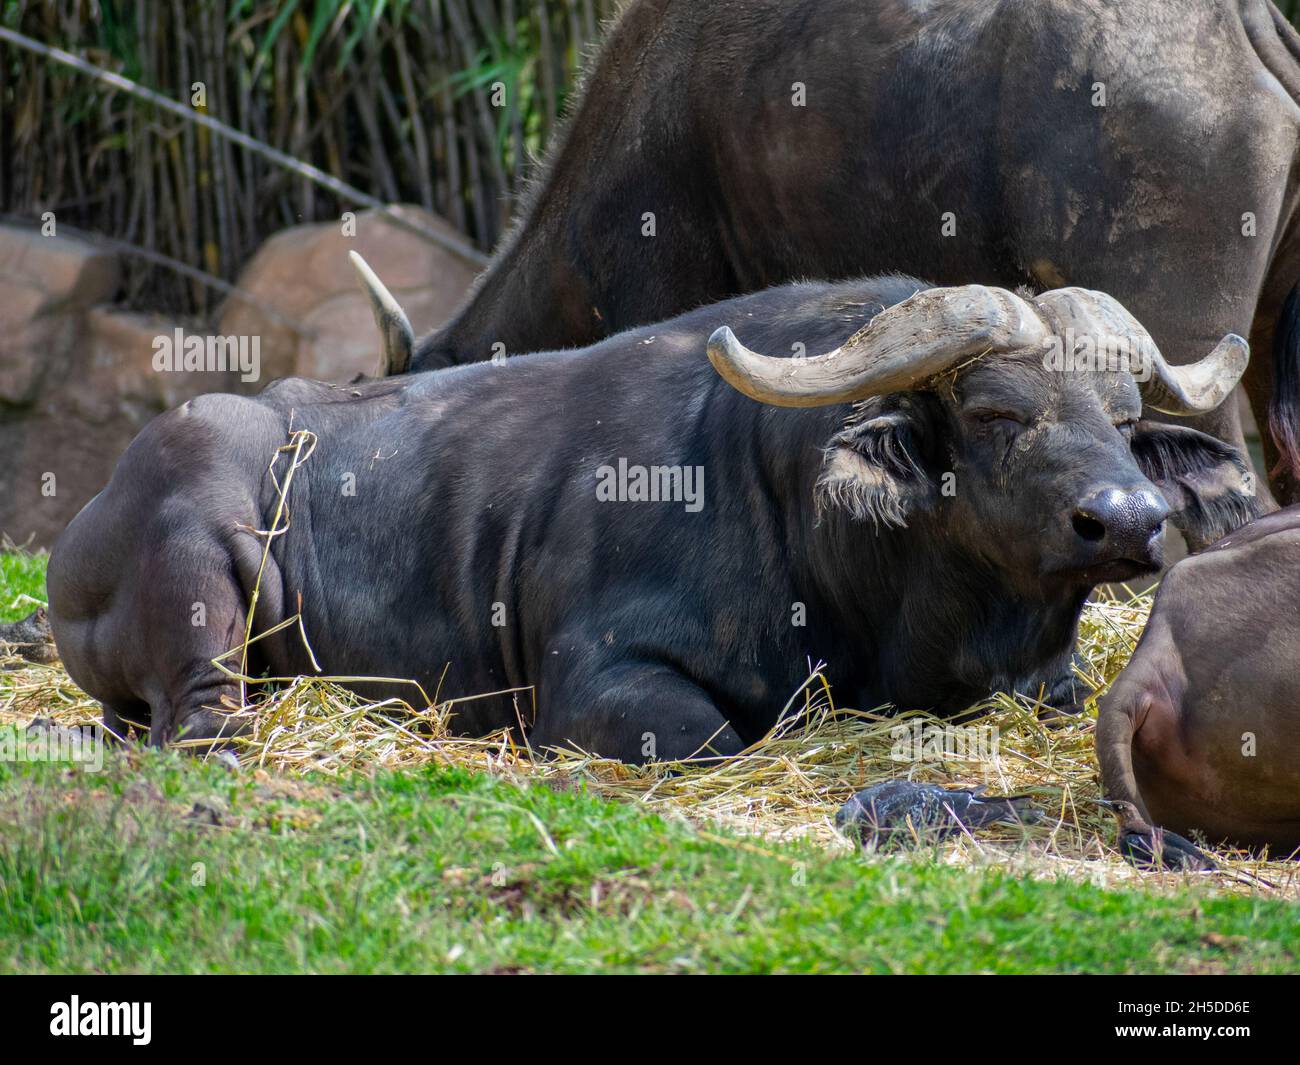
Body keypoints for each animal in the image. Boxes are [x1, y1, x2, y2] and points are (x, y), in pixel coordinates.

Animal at [48, 269, 1252, 759]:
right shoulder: (600, 683)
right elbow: (713, 738)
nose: (1128, 520)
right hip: (199, 563)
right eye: (999, 413)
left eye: (1121, 414)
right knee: (202, 712)